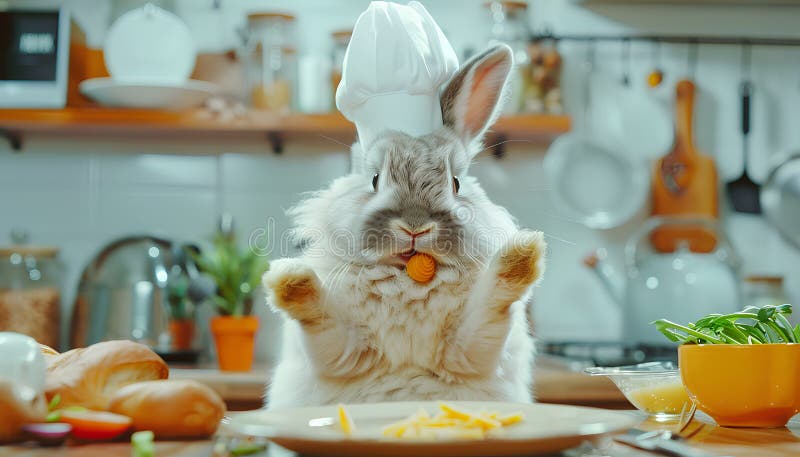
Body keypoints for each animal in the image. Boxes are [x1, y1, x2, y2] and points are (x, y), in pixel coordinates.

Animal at [263, 45, 546, 409]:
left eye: (455, 183)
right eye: (374, 178)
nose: (415, 226)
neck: (407, 282)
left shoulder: (468, 349)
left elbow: (489, 308)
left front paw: (522, 255)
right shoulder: (344, 351)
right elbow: (323, 323)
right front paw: (290, 279)